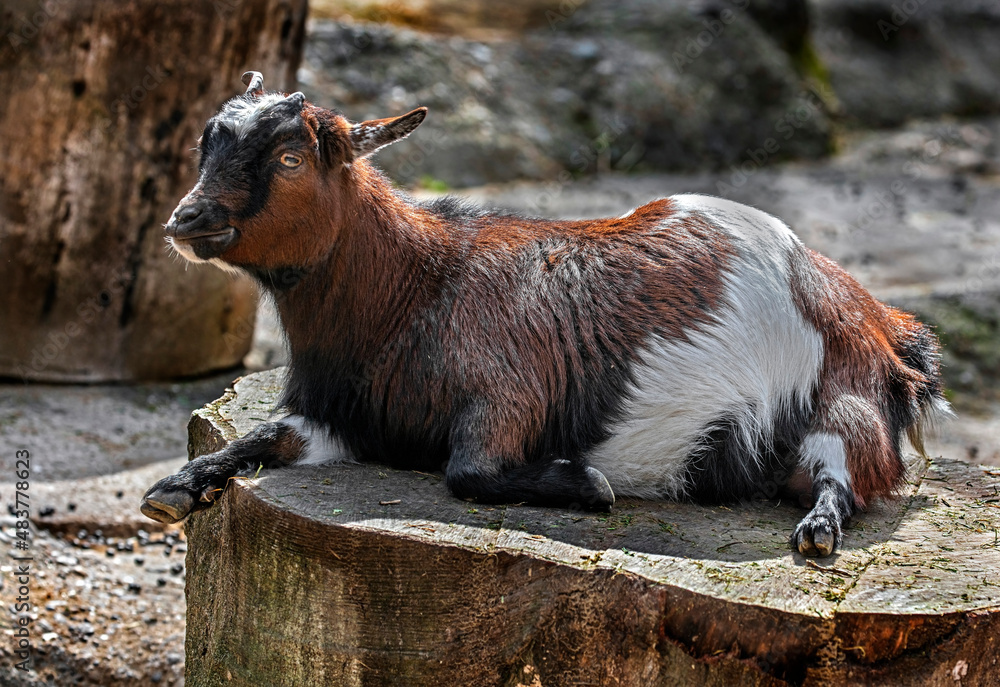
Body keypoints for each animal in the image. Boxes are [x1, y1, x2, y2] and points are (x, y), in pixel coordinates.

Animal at [141, 72, 951, 557]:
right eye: (209, 139)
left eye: (288, 159)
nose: (186, 220)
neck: (420, 287)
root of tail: (880, 317)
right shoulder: (343, 418)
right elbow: (263, 435)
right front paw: (174, 489)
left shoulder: (506, 394)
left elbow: (467, 473)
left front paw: (586, 482)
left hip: (843, 396)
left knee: (848, 476)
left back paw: (816, 531)